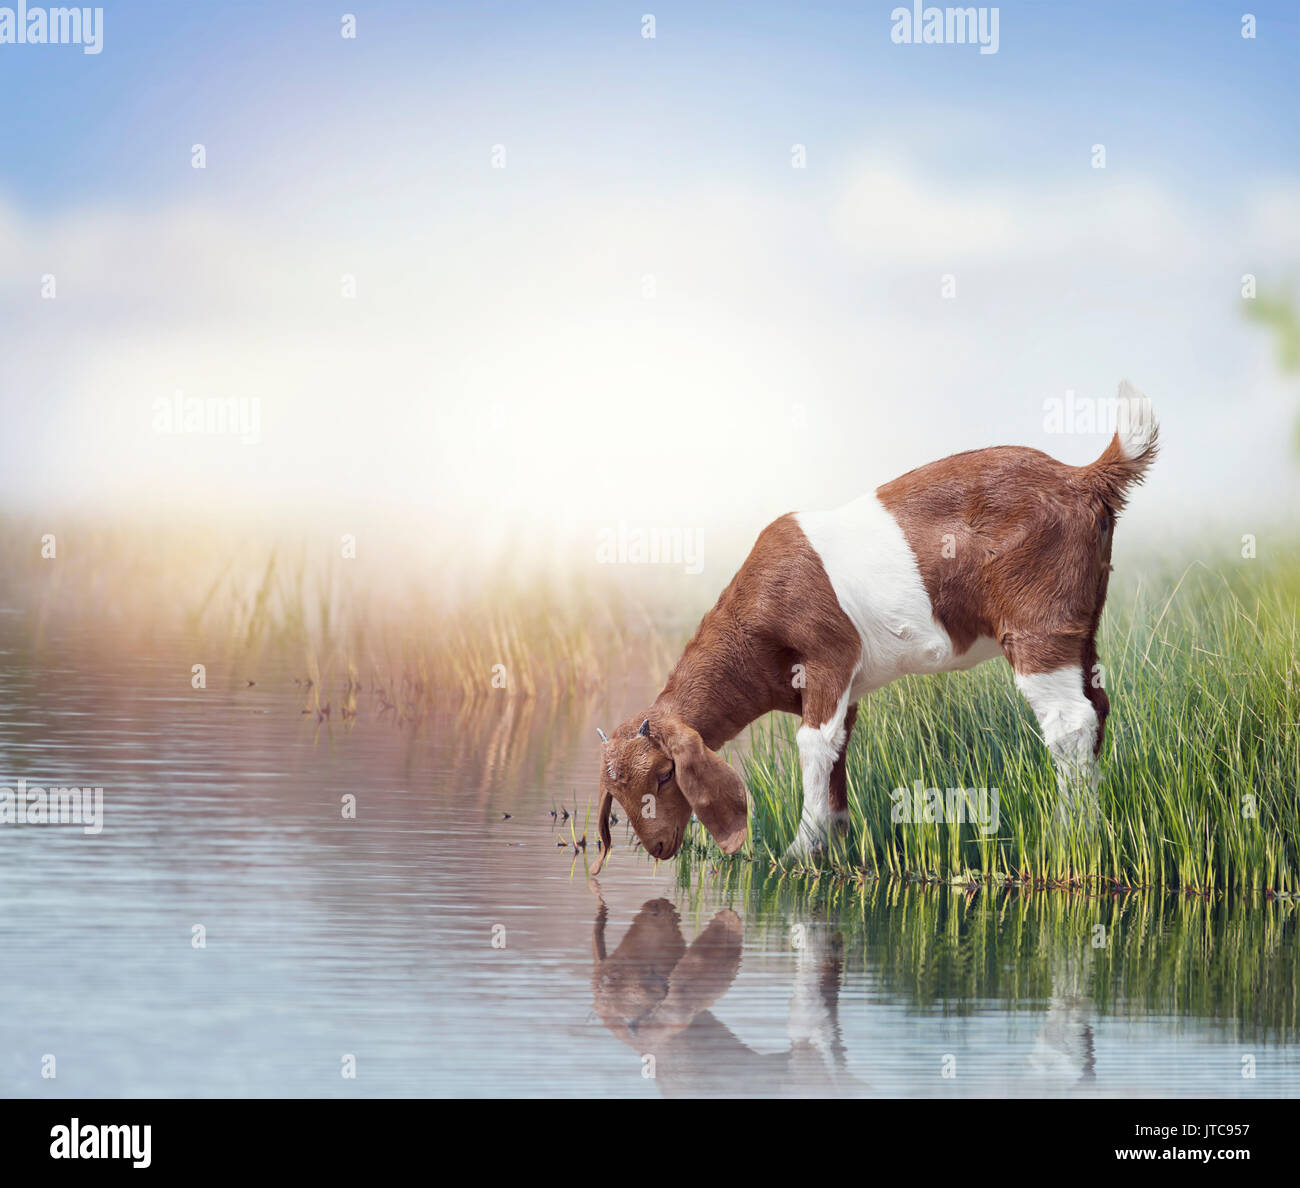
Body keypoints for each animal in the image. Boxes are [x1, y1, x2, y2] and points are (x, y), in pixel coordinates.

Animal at [592, 381, 1158, 873]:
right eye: (616, 794)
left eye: (665, 774)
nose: (659, 847)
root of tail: (1083, 476)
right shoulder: (842, 691)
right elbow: (838, 748)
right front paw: (836, 842)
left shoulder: (827, 656)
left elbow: (813, 744)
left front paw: (797, 854)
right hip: (1081, 627)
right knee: (1098, 705)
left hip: (1039, 623)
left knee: (1069, 721)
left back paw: (1067, 836)